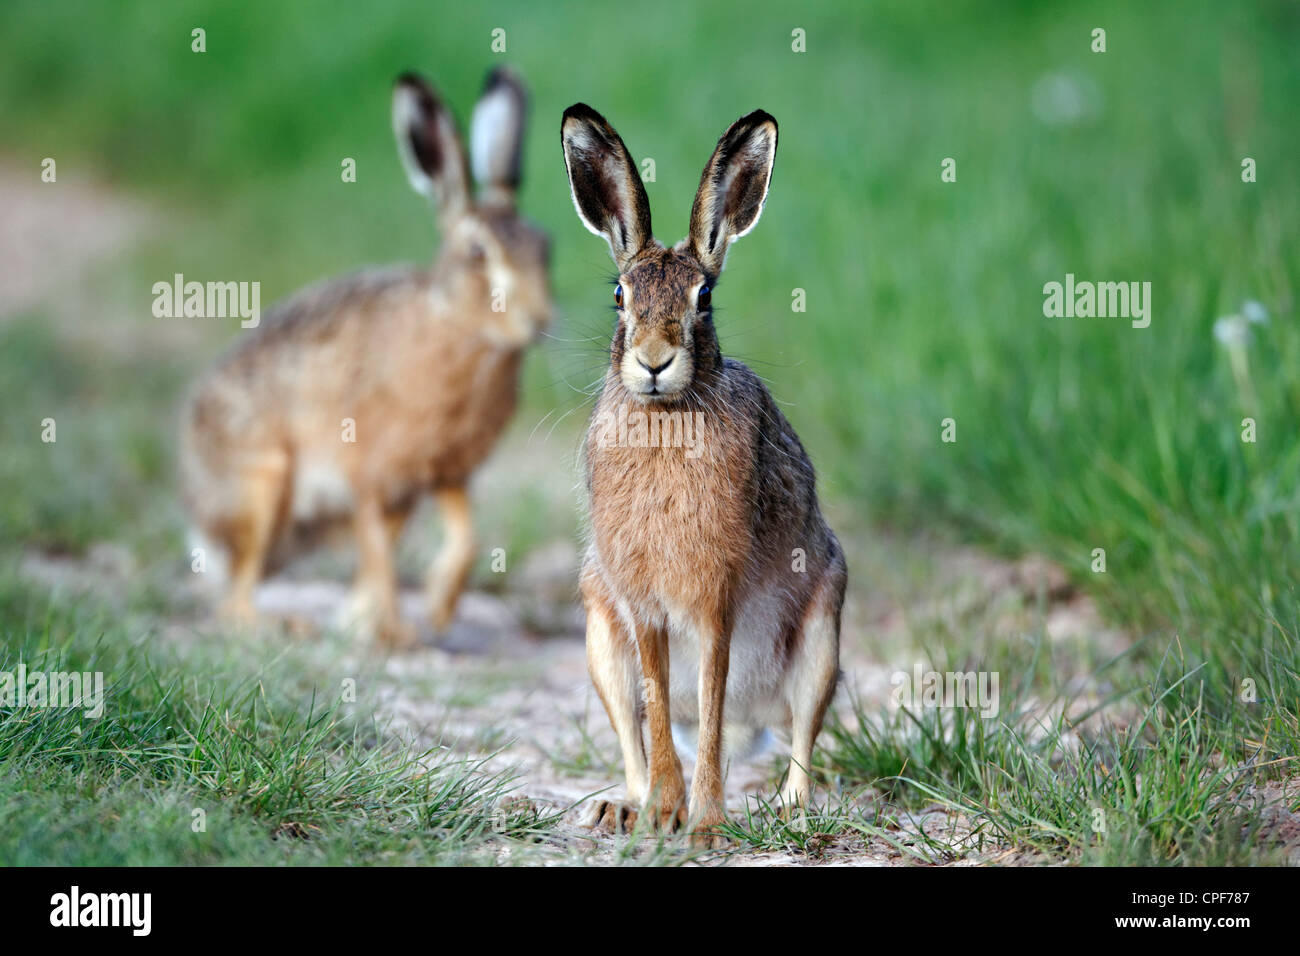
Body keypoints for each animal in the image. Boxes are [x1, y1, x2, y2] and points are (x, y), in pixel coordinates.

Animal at [179, 68, 552, 649]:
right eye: (477, 255)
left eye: (545, 249)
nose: (538, 321)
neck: (460, 330)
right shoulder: (371, 476)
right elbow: (380, 554)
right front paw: (400, 634)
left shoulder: (444, 475)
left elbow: (464, 538)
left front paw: (438, 609)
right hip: (259, 484)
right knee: (234, 595)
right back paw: (292, 623)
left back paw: (352, 619)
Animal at [560, 103, 846, 845]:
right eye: (619, 295)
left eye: (705, 297)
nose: (655, 361)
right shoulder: (641, 608)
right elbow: (659, 709)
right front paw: (668, 813)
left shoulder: (716, 597)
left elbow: (711, 713)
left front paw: (709, 826)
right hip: (599, 634)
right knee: (632, 734)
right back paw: (624, 808)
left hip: (822, 631)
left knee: (798, 733)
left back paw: (790, 810)